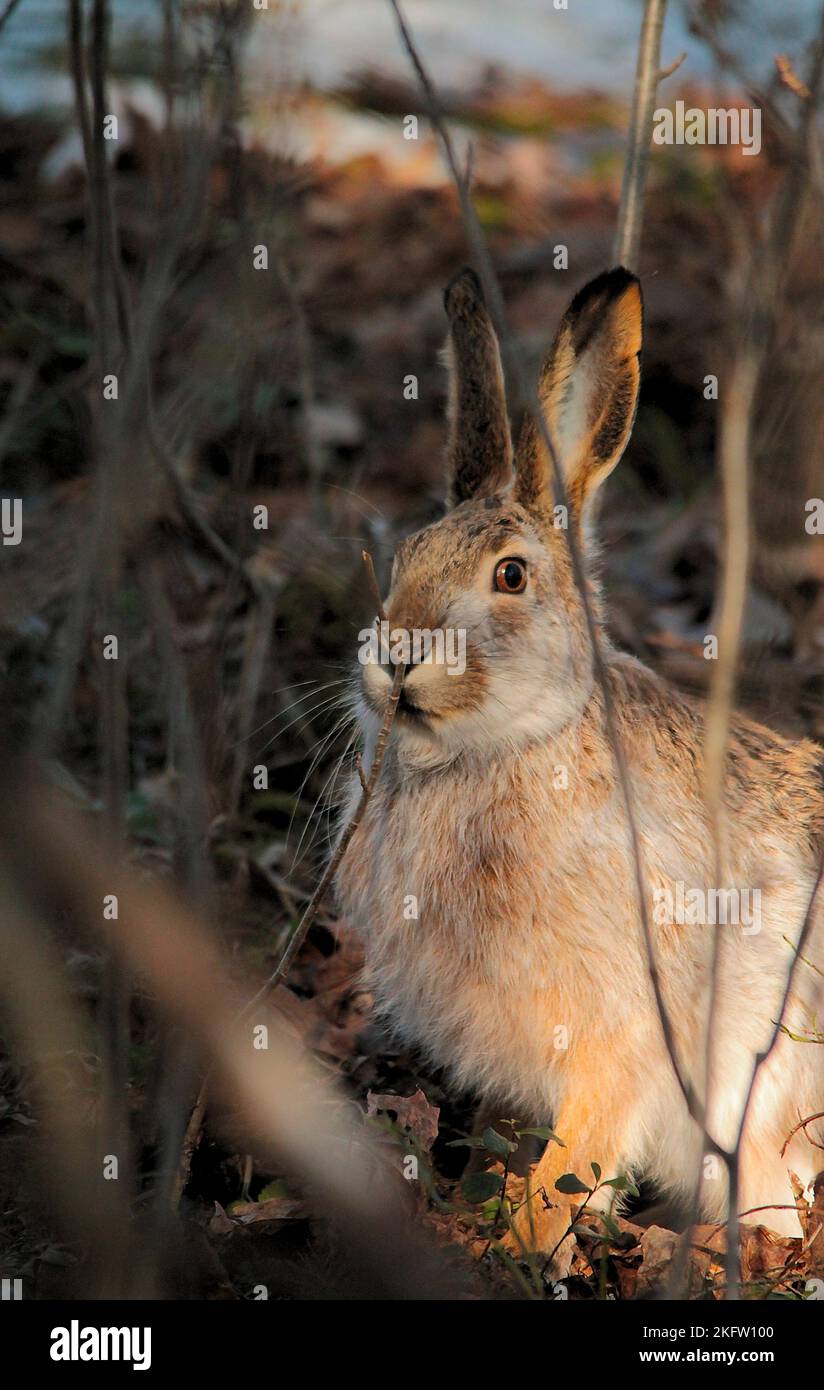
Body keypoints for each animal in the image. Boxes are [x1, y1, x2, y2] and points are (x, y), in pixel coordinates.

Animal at [334, 265, 824, 1272]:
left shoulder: (628, 1034)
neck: (512, 744)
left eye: (511, 577)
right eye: (401, 559)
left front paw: (518, 1235)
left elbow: (584, 1145)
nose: (397, 654)